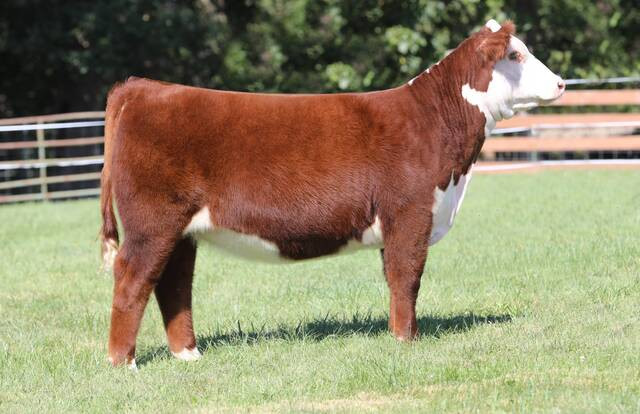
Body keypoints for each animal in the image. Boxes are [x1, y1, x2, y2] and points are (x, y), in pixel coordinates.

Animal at [100, 20, 564, 368]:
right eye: (515, 55)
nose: (561, 83)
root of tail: (141, 87)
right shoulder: (410, 212)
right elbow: (407, 276)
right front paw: (406, 341)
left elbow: (397, 277)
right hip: (152, 222)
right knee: (132, 279)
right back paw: (124, 363)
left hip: (181, 230)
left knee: (173, 283)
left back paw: (188, 355)